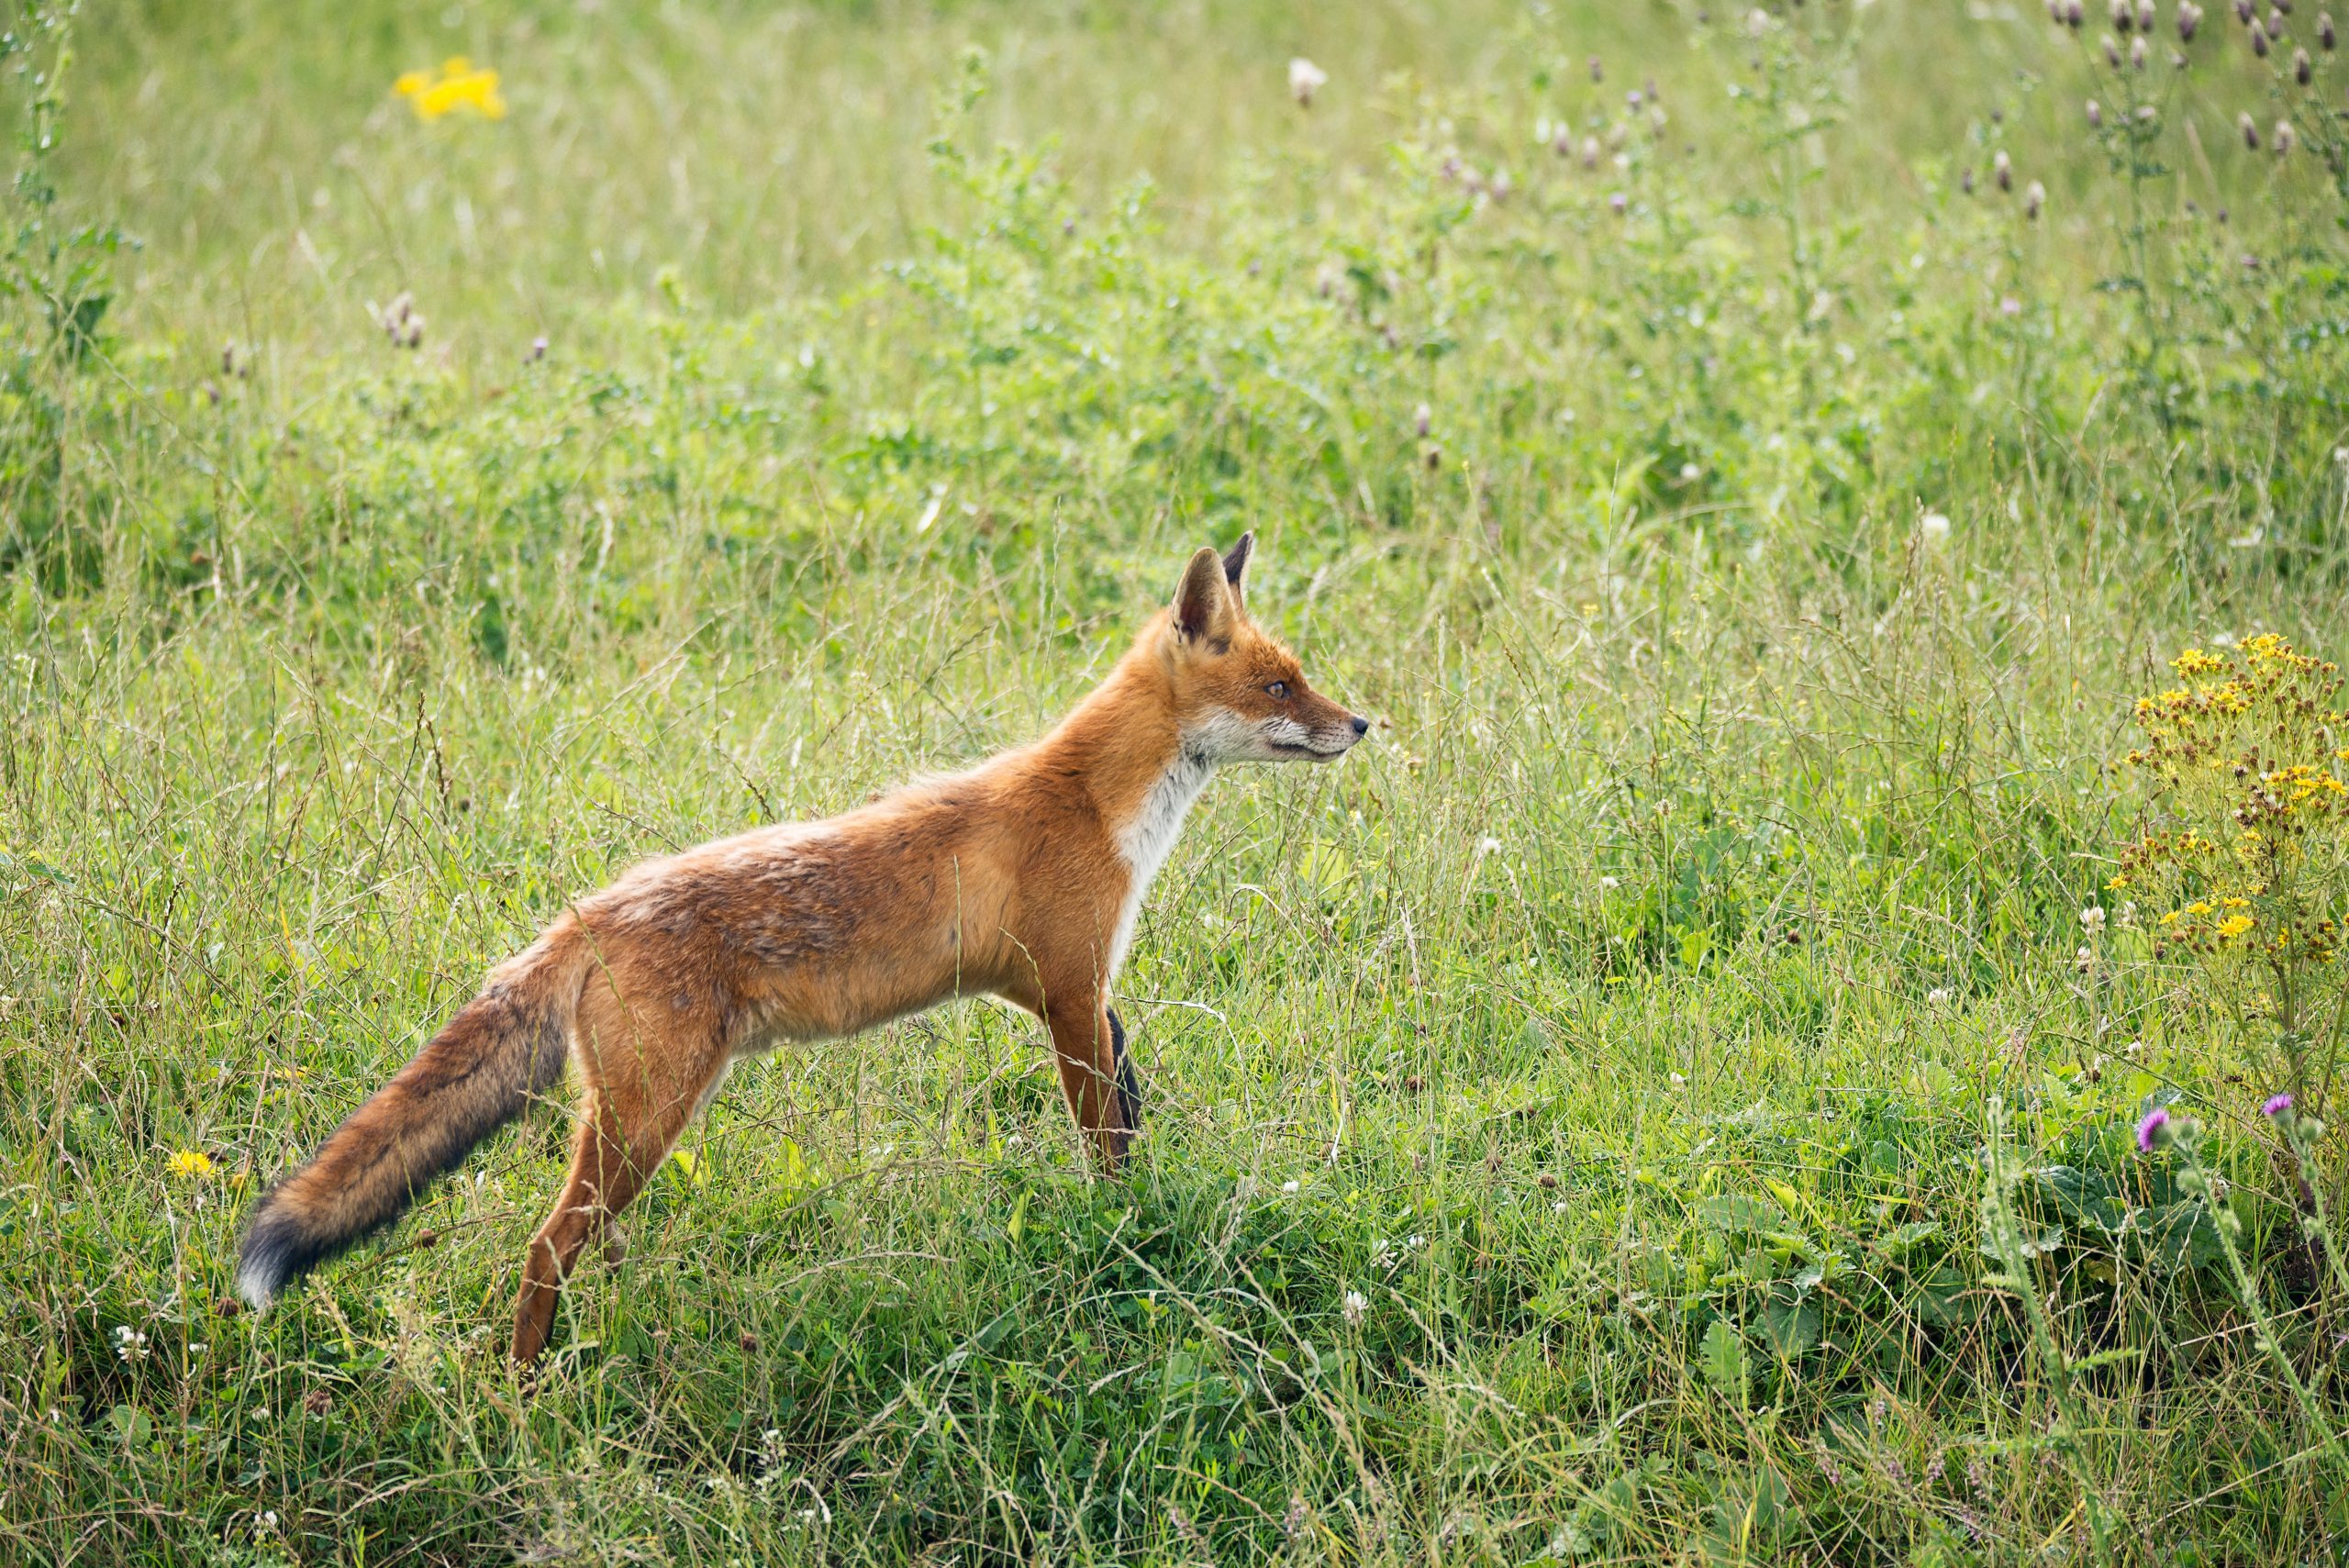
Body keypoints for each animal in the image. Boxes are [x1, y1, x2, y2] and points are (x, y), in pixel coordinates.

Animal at [236, 533, 1368, 1363]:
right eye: (1279, 688)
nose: (1361, 723)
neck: (1097, 804)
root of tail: (585, 912)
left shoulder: (1089, 994)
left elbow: (1131, 1112)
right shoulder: (1067, 990)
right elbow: (1107, 1146)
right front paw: (1124, 1235)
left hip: (629, 1128)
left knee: (588, 1242)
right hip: (648, 1115)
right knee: (544, 1246)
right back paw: (524, 1393)